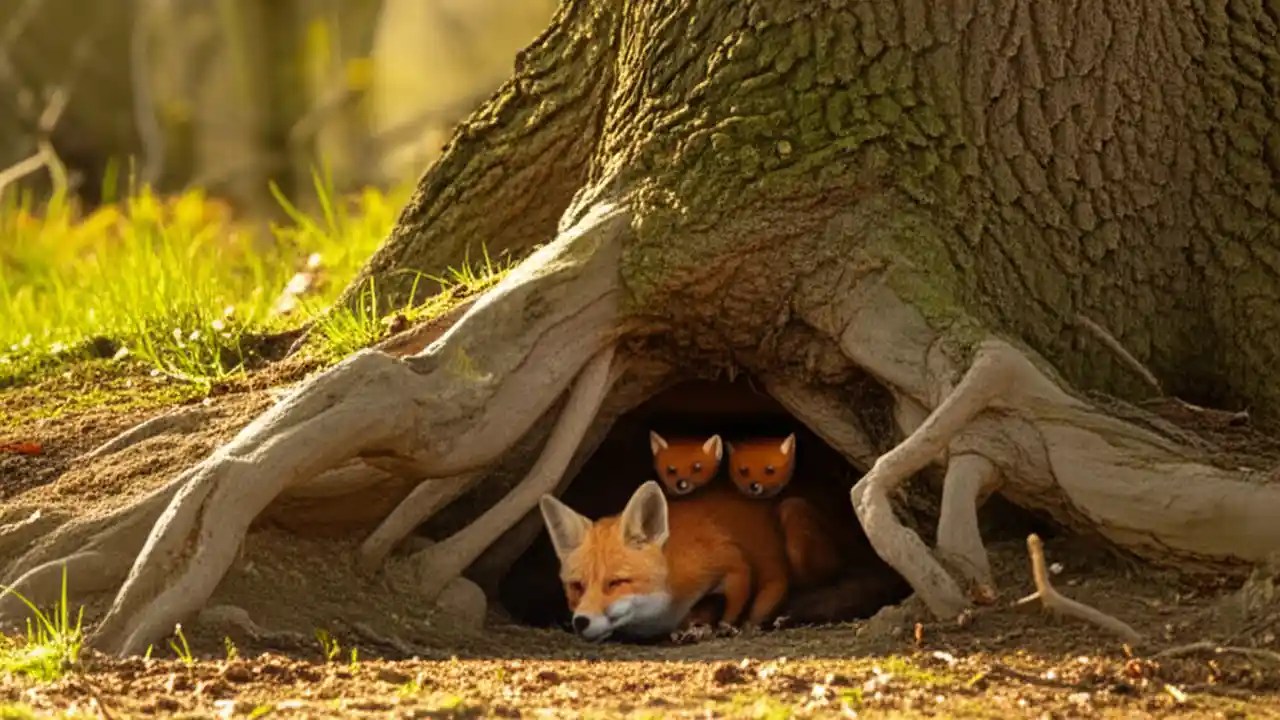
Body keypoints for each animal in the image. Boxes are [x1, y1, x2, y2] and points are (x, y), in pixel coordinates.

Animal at [538, 480, 790, 641]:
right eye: (576, 586)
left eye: (616, 582)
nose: (580, 622)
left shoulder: (732, 564)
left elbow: (740, 604)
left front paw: (732, 627)